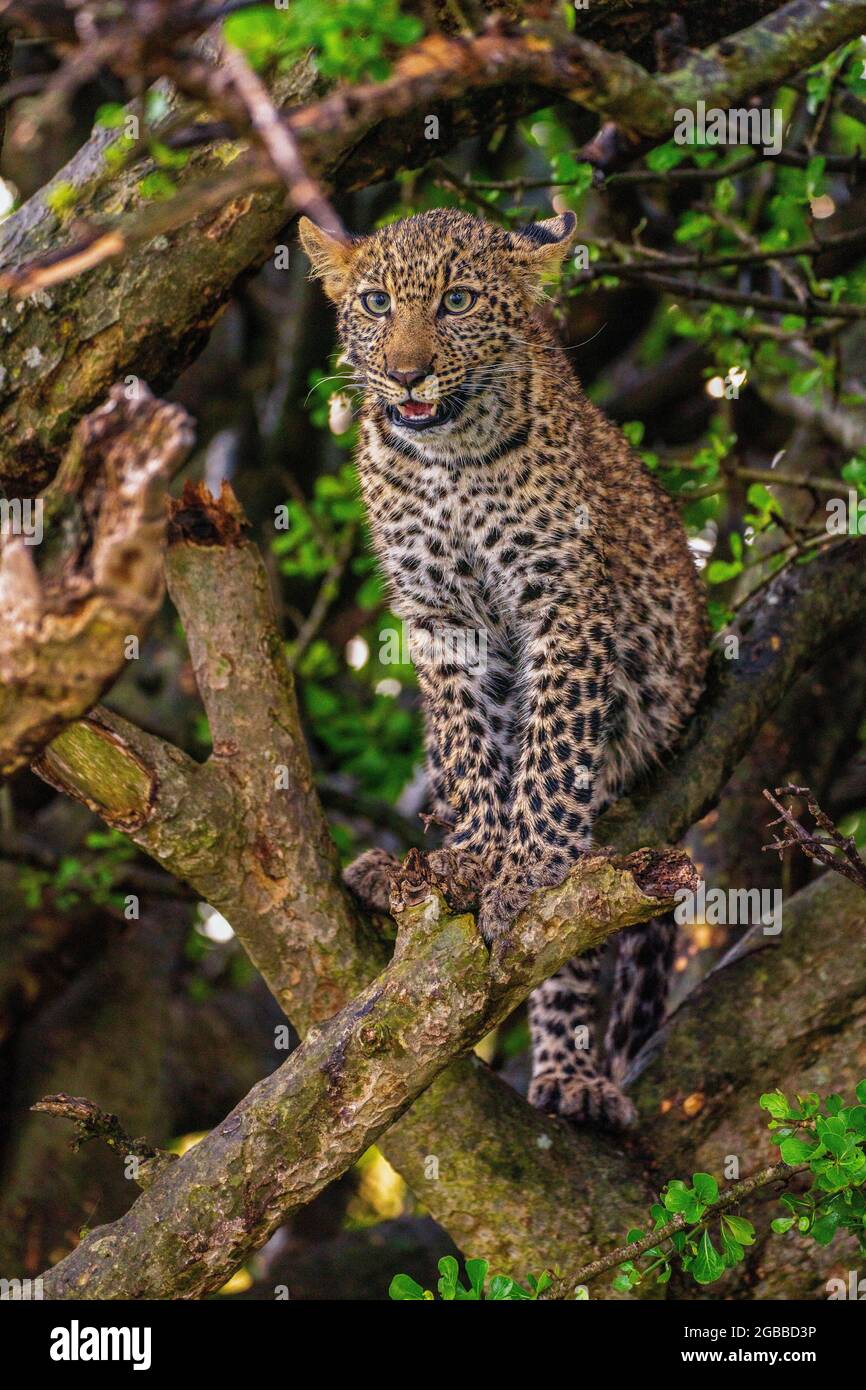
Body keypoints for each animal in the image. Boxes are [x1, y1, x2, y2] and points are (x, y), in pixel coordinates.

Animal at [299, 207, 708, 1129]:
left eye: (456, 301)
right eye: (376, 303)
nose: (406, 372)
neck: (448, 459)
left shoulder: (564, 603)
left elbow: (551, 758)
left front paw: (524, 870)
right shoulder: (439, 619)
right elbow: (466, 745)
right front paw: (476, 855)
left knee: (575, 954)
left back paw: (570, 1075)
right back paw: (390, 870)